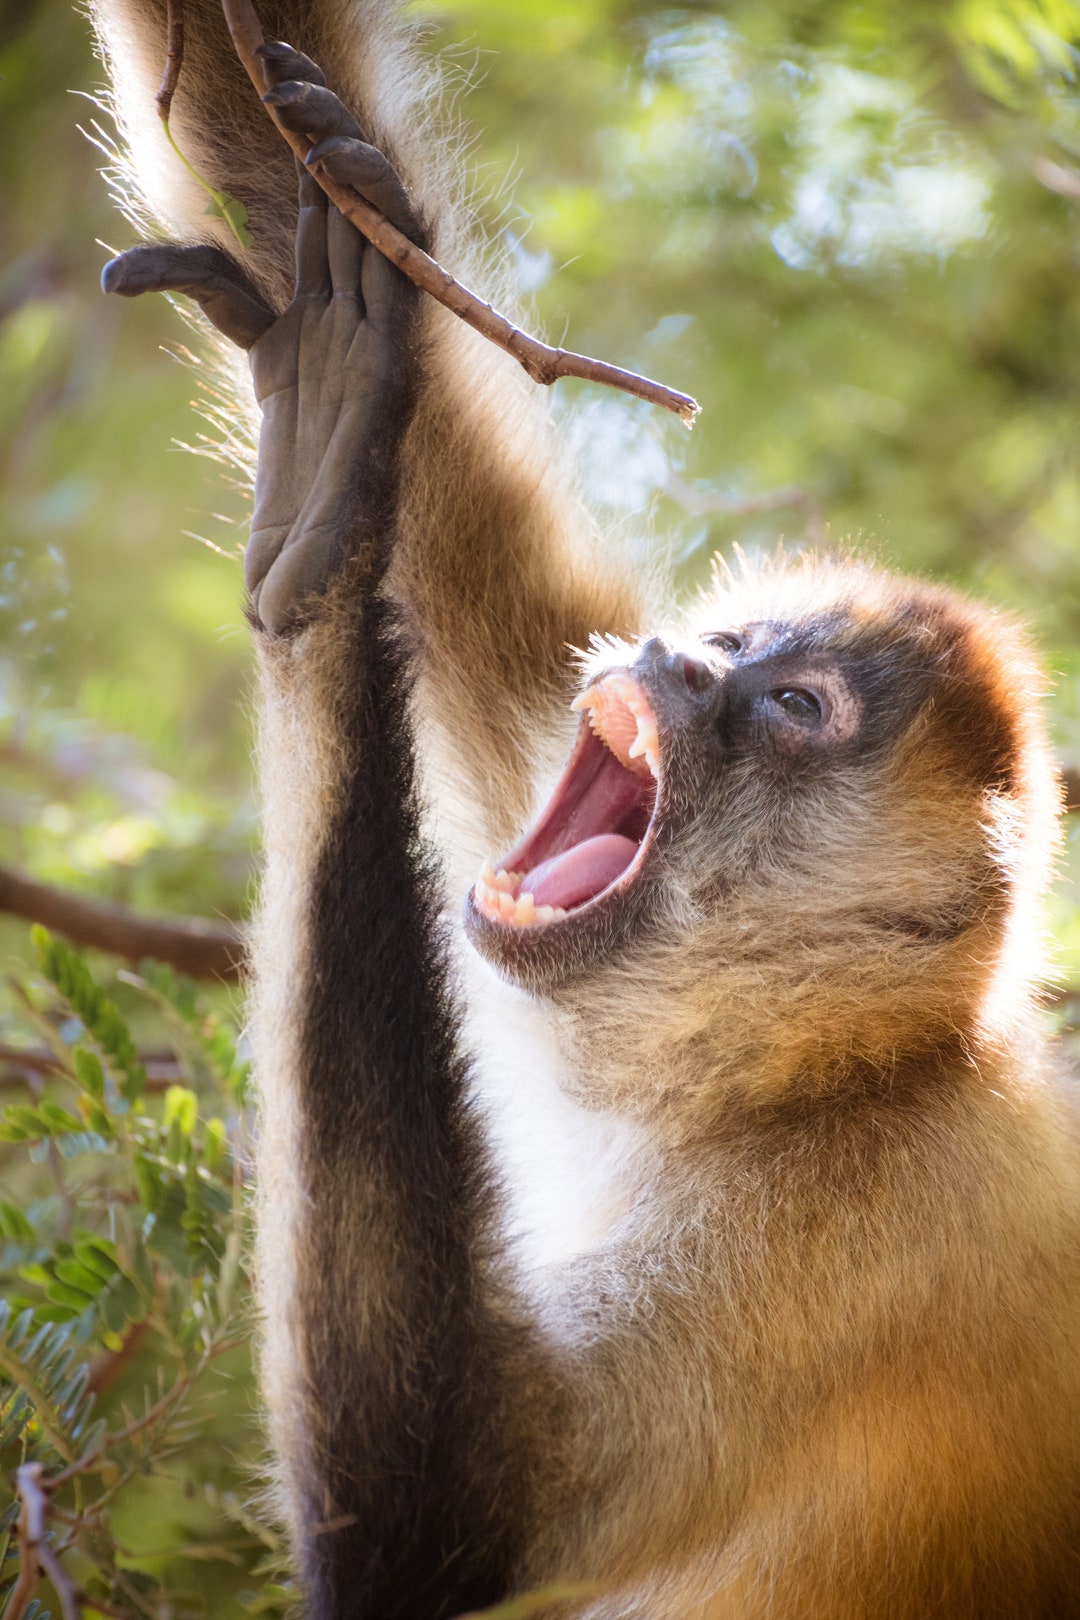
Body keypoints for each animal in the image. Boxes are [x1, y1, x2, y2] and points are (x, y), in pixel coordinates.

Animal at [89, 1, 1080, 1616]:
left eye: (793, 709)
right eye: (732, 643)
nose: (679, 662)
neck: (842, 1078)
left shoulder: (863, 1225)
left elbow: (433, 1531)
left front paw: (321, 554)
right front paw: (337, 398)